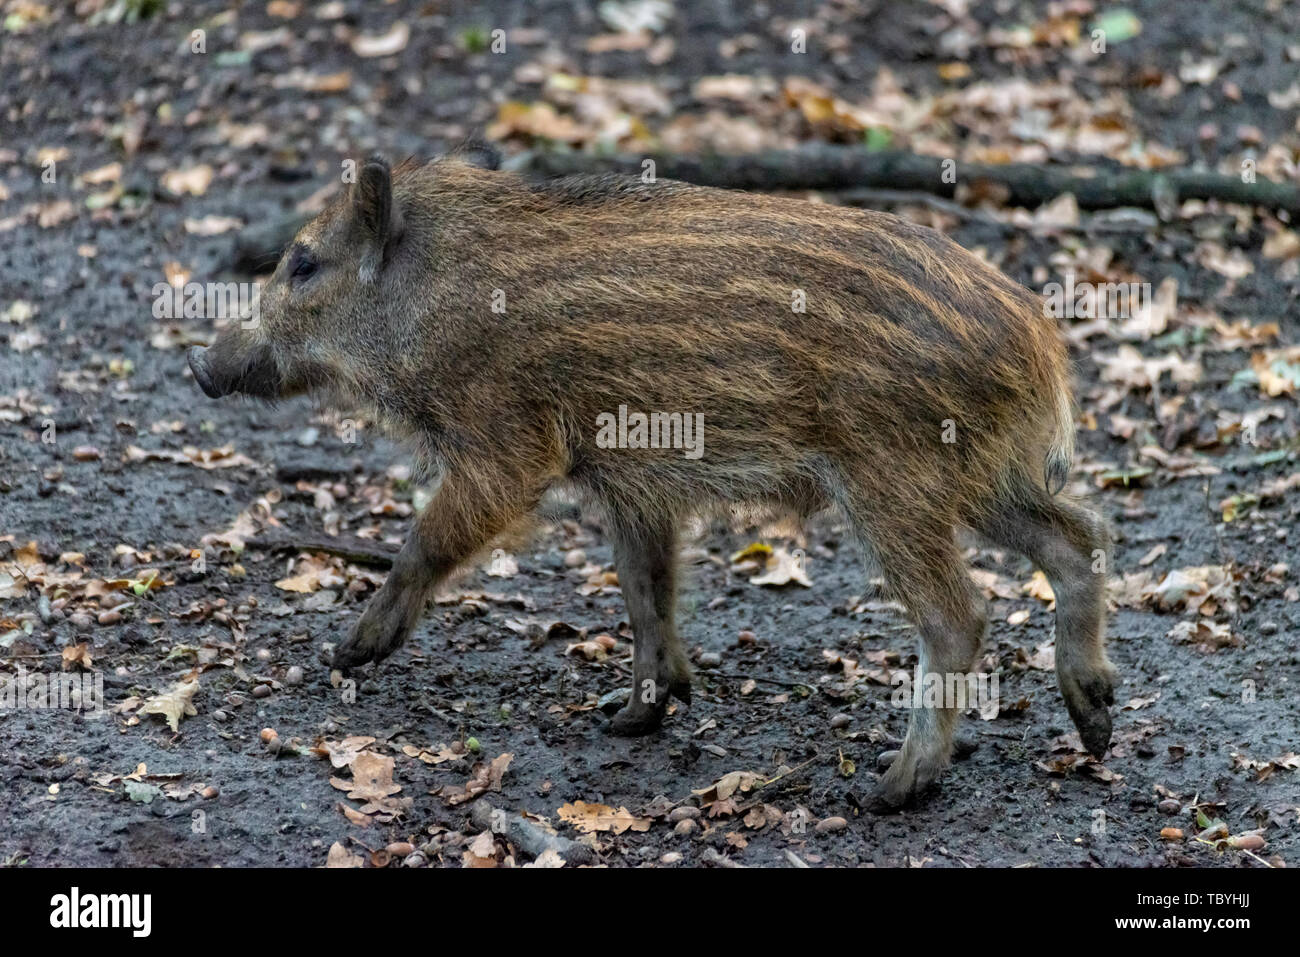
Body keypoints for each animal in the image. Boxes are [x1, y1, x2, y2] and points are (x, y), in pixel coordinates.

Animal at [188, 147, 1114, 809]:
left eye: (304, 263)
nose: (204, 366)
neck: (431, 299)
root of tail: (1038, 334)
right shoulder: (630, 483)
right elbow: (644, 587)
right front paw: (635, 714)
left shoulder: (509, 448)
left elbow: (425, 541)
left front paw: (350, 651)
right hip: (983, 477)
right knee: (1080, 538)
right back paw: (1095, 721)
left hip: (895, 480)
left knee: (960, 615)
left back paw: (891, 787)